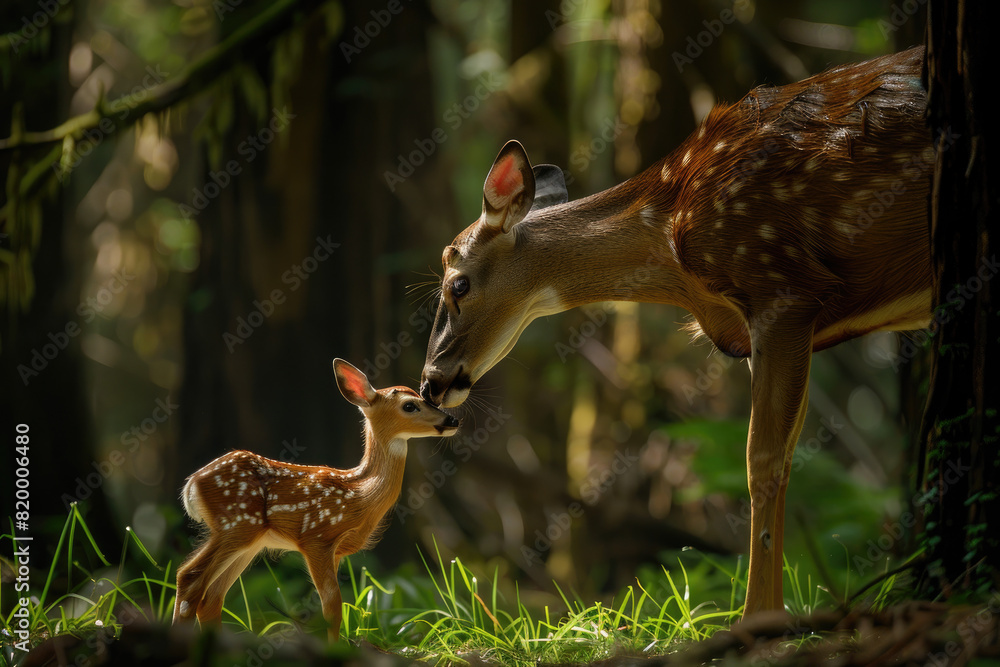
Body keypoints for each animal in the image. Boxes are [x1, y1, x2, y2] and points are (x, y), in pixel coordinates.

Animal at [172, 359, 460, 640]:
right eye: (410, 405)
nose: (452, 419)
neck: (359, 494)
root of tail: (192, 484)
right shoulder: (316, 538)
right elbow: (332, 607)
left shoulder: (337, 551)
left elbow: (336, 606)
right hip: (236, 523)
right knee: (189, 577)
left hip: (250, 541)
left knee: (211, 597)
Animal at [419, 46, 932, 617]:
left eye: (458, 284)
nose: (431, 382)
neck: (670, 232)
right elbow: (784, 459)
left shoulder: (782, 287)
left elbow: (762, 462)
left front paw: (758, 617)